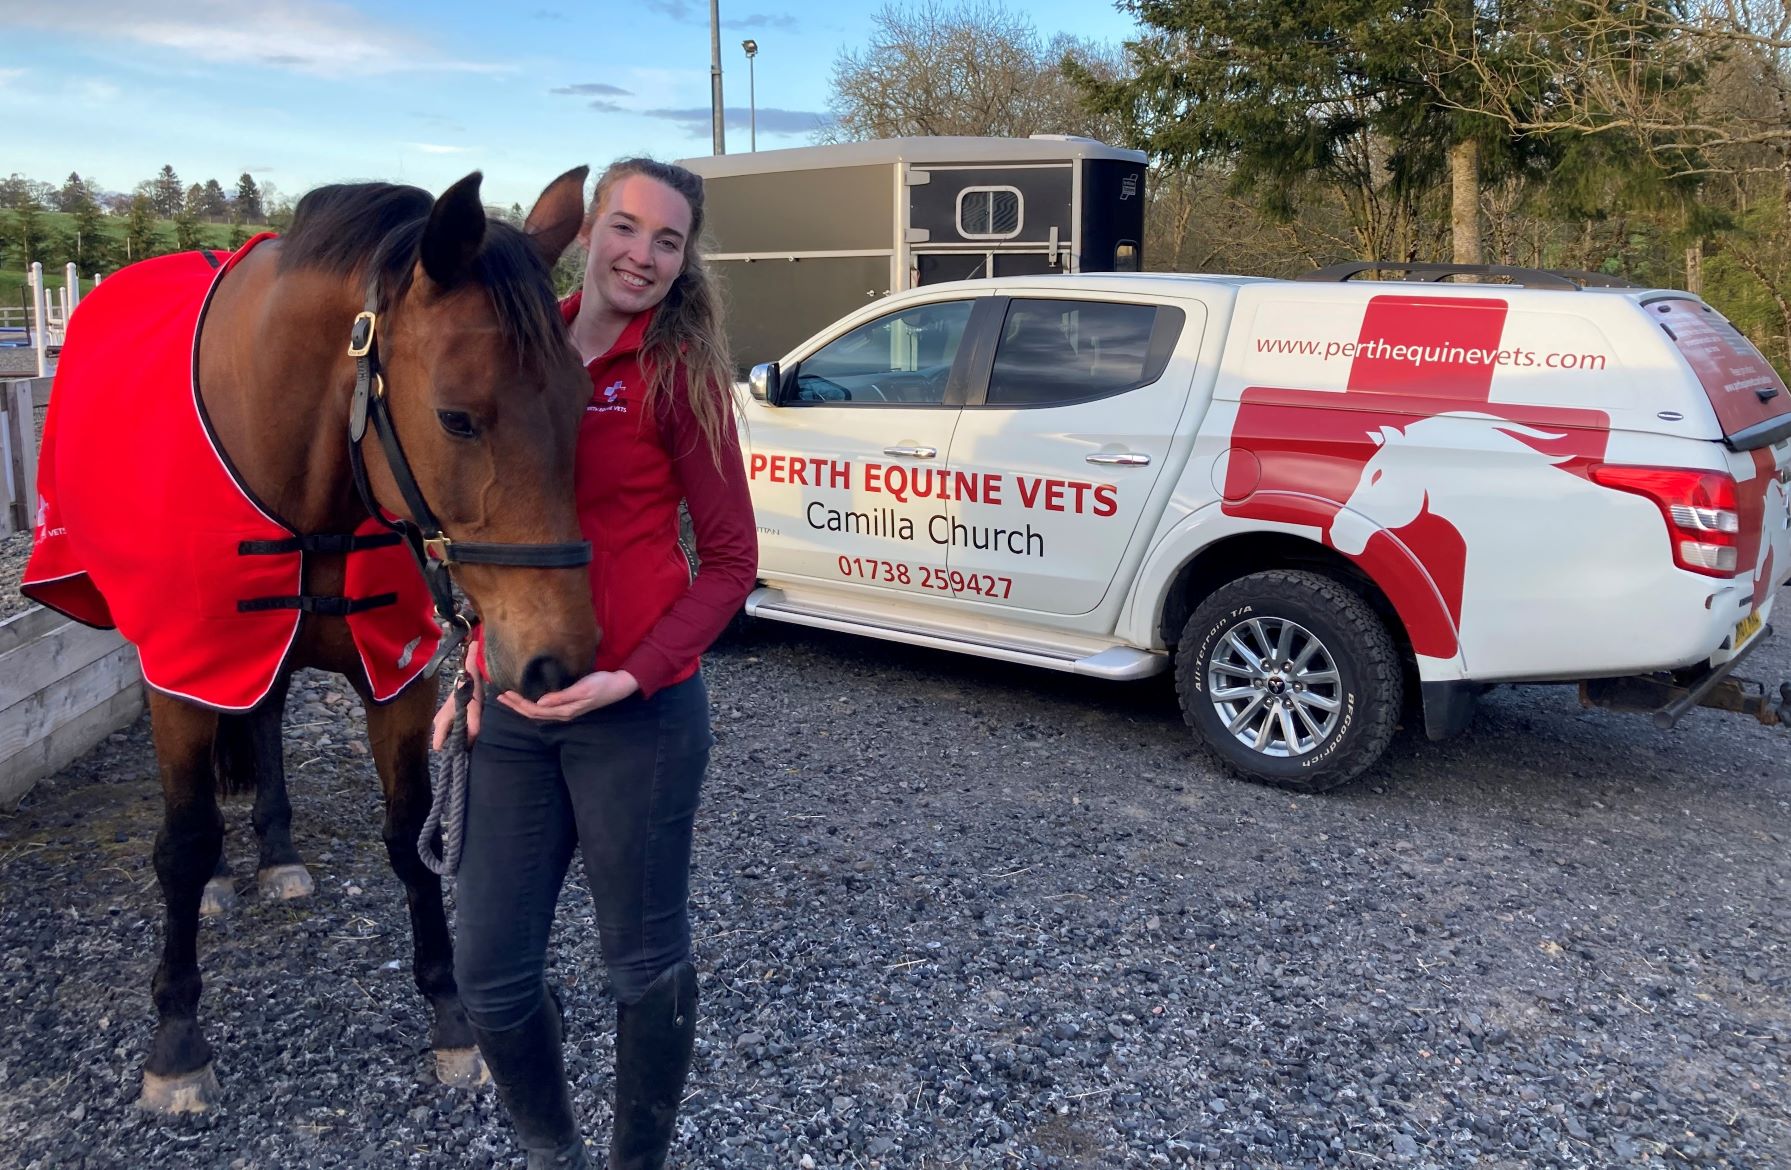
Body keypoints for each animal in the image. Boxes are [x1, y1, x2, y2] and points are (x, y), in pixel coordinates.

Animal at [22, 167, 601, 1113]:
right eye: (456, 417)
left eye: (581, 401)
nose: (559, 661)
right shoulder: (188, 669)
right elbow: (184, 843)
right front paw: (176, 1039)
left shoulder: (397, 678)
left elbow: (410, 839)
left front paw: (450, 1011)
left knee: (265, 715)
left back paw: (278, 850)